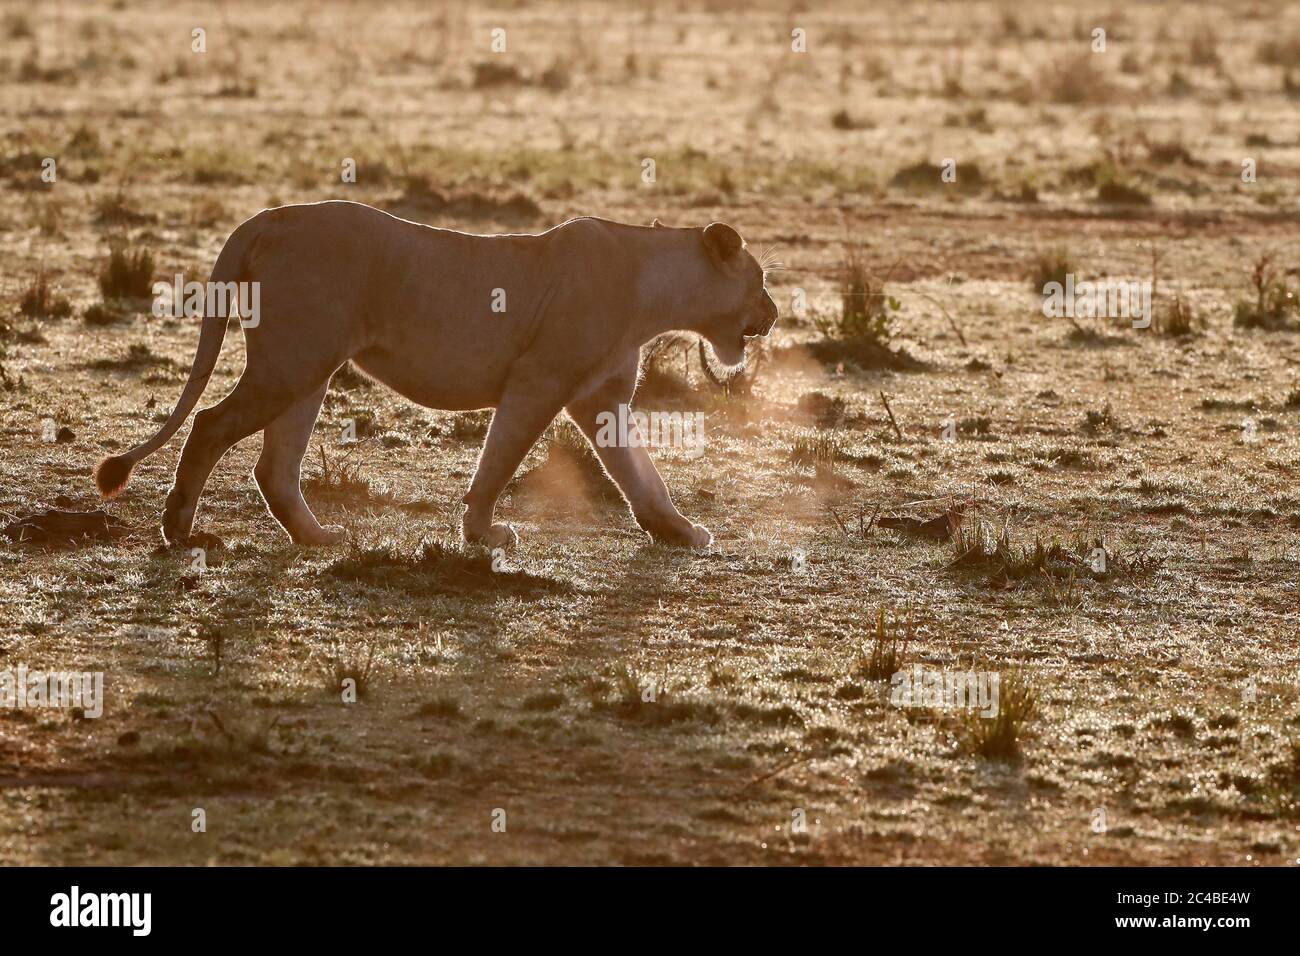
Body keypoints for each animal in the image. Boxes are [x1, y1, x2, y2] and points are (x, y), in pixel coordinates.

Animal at [94, 201, 779, 550]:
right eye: (760, 279)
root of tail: (265, 219)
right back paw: (180, 529)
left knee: (273, 466)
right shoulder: (538, 380)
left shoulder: (598, 398)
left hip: (306, 368)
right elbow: (499, 460)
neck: (651, 294)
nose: (773, 314)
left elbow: (641, 475)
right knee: (209, 426)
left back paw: (319, 538)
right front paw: (482, 531)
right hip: (291, 362)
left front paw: (678, 530)